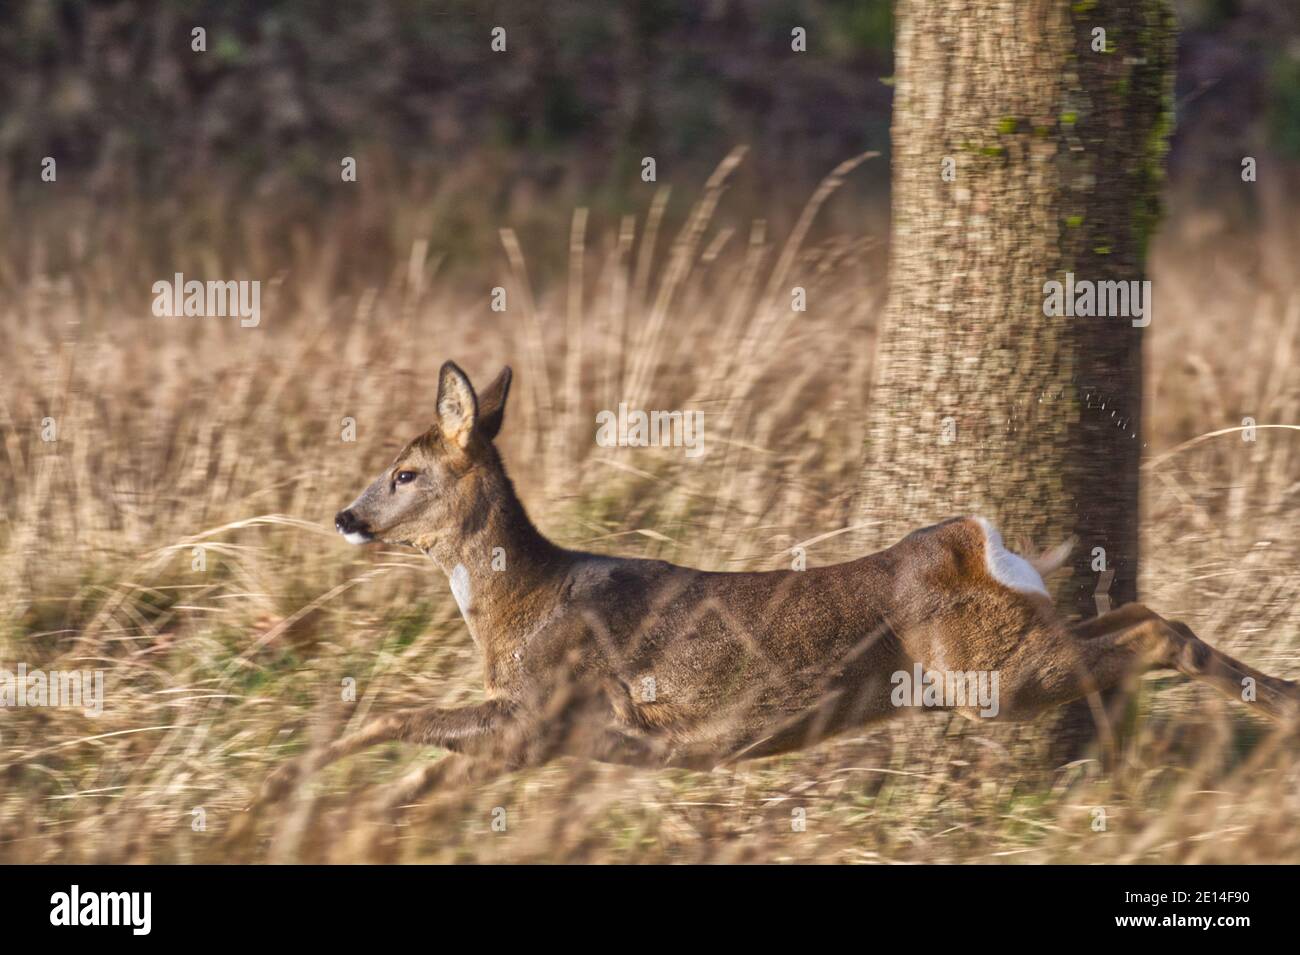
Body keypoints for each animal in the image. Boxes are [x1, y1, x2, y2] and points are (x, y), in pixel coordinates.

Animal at [254, 361, 1299, 806]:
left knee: (1154, 628)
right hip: (1005, 645)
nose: (345, 516)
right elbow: (427, 765)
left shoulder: (550, 709)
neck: (517, 606)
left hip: (986, 673)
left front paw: (293, 777)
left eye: (404, 471)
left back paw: (1277, 700)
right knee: (1136, 610)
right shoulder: (544, 733)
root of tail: (974, 536)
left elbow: (401, 717)